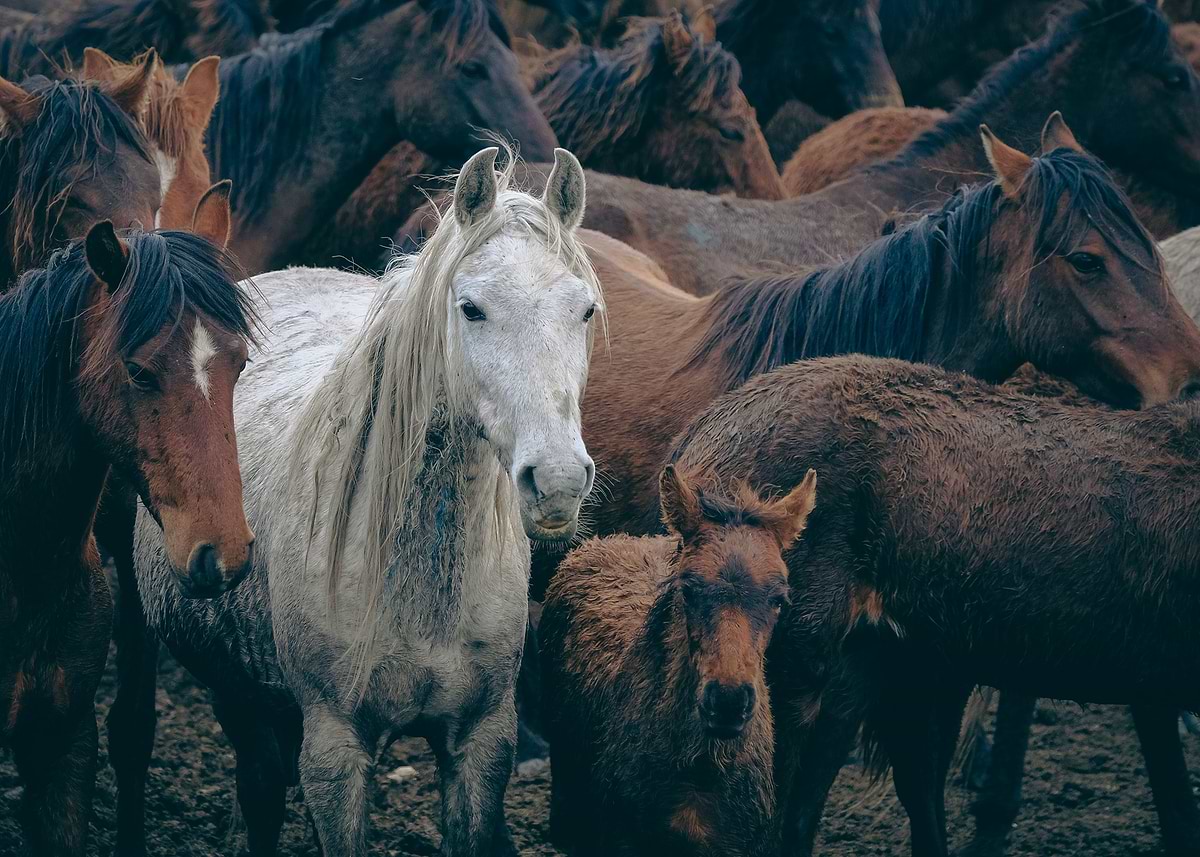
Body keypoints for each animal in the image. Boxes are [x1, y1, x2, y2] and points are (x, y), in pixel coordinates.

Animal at [129, 147, 600, 855]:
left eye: (586, 310)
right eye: (472, 308)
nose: (559, 481)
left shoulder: (481, 744)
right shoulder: (335, 750)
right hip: (237, 695)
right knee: (260, 787)